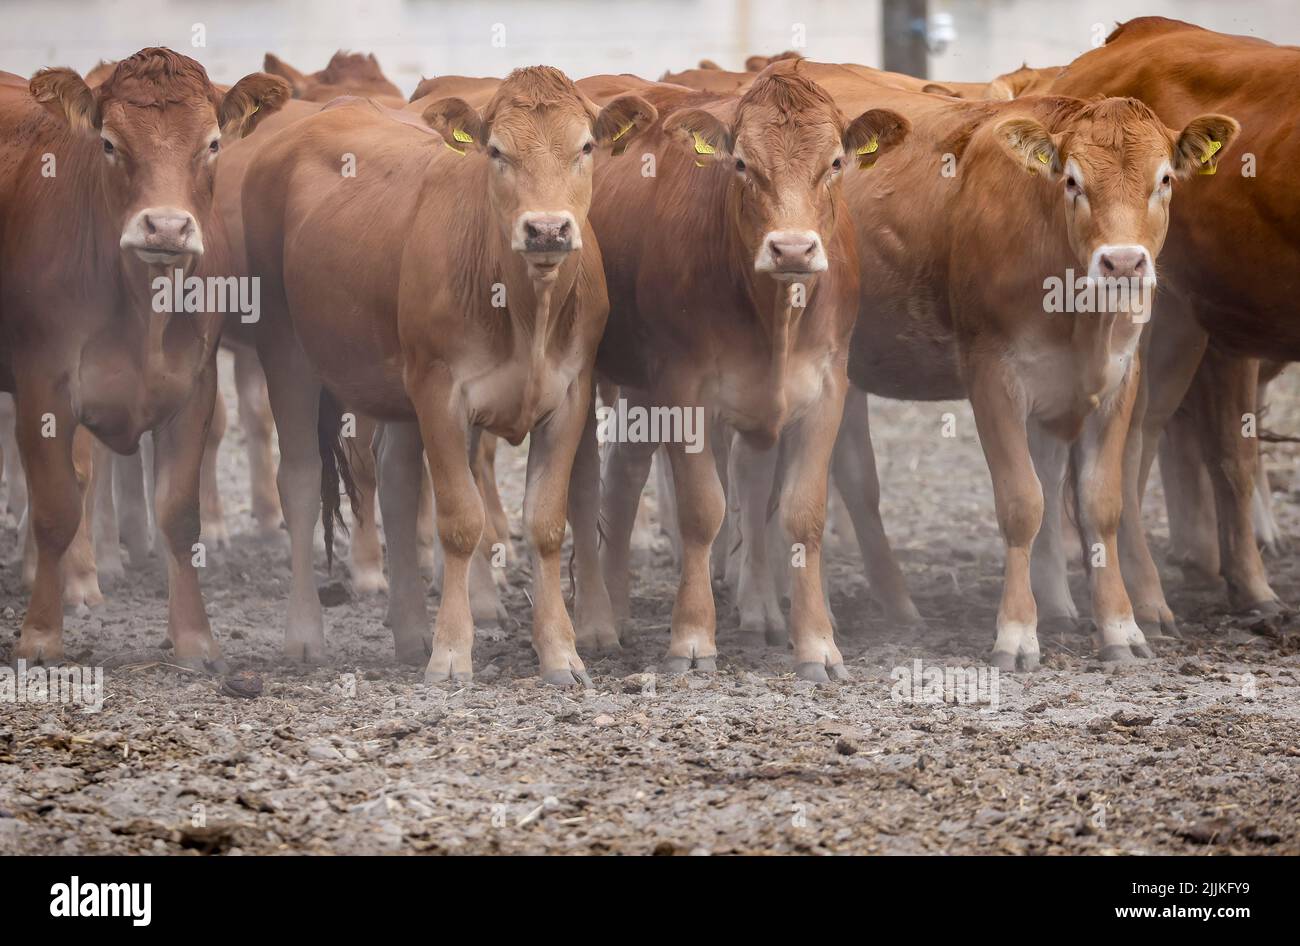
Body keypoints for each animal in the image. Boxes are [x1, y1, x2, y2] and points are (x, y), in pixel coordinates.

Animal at [0, 49, 288, 667]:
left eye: (212, 144)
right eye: (109, 143)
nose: (167, 226)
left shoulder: (195, 388)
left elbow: (179, 515)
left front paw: (195, 639)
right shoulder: (45, 388)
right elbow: (58, 509)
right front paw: (40, 634)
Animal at [241, 67, 656, 682]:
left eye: (585, 147)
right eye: (496, 151)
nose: (547, 229)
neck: (526, 311)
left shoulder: (571, 395)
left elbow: (546, 522)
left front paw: (560, 652)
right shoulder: (441, 392)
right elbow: (460, 520)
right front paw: (453, 651)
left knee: (394, 480)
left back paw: (411, 631)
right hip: (285, 348)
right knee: (297, 481)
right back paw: (306, 635)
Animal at [576, 60, 910, 681]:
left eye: (835, 163)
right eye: (742, 164)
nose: (793, 249)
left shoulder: (827, 389)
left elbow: (802, 513)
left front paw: (818, 644)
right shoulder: (684, 388)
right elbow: (703, 511)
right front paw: (691, 639)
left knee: (629, 479)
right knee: (597, 490)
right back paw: (600, 622)